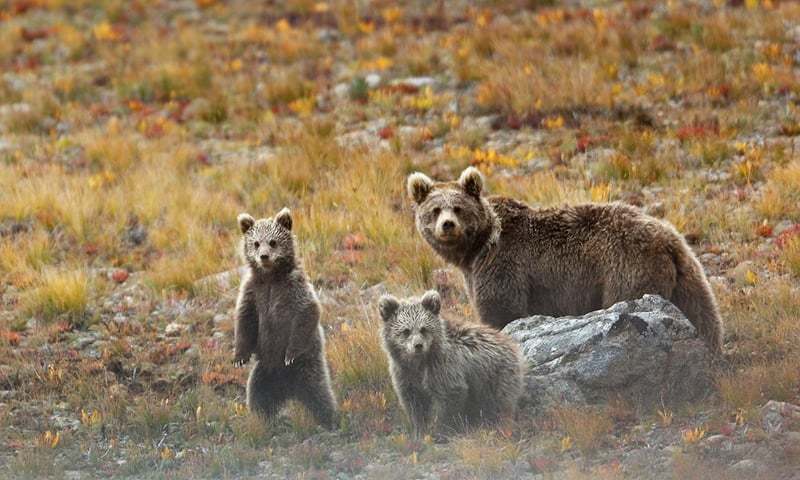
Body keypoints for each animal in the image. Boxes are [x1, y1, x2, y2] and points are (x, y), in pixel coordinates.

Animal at [232, 208, 337, 428]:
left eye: (273, 242)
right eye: (256, 243)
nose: (264, 256)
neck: (271, 277)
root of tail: (289, 389)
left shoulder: (293, 287)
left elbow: (307, 310)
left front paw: (289, 354)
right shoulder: (253, 291)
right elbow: (245, 318)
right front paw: (239, 357)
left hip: (307, 368)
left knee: (320, 394)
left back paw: (330, 421)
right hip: (263, 372)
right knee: (257, 396)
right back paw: (263, 420)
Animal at [378, 290, 524, 438]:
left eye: (424, 329)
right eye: (406, 331)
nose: (418, 345)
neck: (419, 362)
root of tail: (511, 345)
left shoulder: (444, 366)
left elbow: (449, 396)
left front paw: (441, 431)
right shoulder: (404, 372)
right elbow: (414, 402)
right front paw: (419, 430)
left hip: (494, 377)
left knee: (500, 404)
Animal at [407, 167, 724, 354]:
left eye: (458, 208)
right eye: (435, 210)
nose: (448, 225)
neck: (476, 249)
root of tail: (667, 239)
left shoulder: (503, 265)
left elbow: (502, 309)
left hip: (625, 269)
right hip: (687, 272)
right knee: (702, 310)